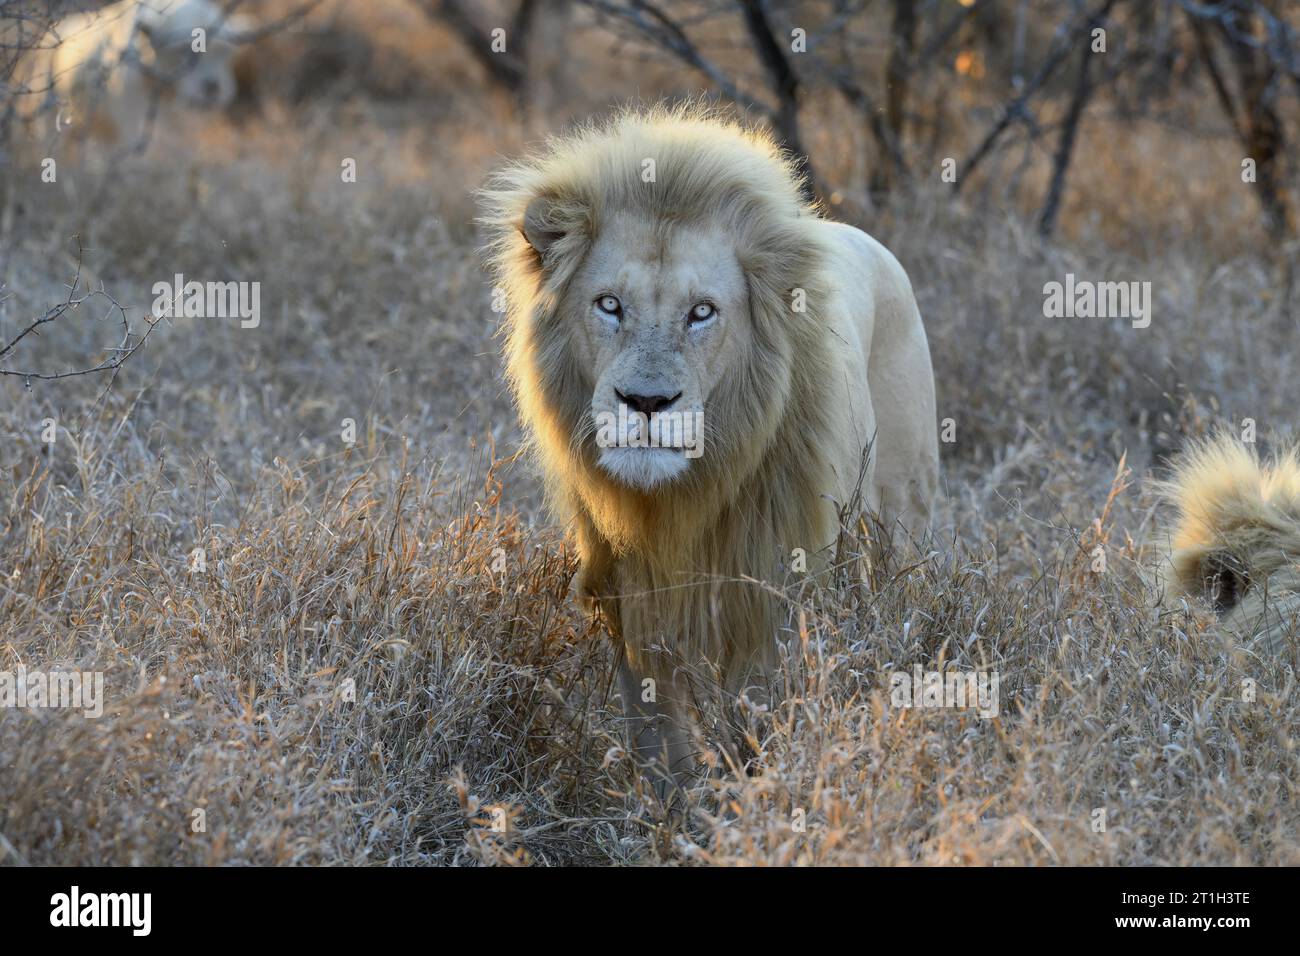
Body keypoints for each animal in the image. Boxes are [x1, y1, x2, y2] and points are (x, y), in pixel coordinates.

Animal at [482, 105, 939, 799]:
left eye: (702, 312)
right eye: (609, 305)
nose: (646, 402)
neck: (680, 499)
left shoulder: (770, 589)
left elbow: (760, 716)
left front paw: (759, 794)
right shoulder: (628, 597)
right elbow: (658, 736)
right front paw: (670, 809)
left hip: (901, 514)